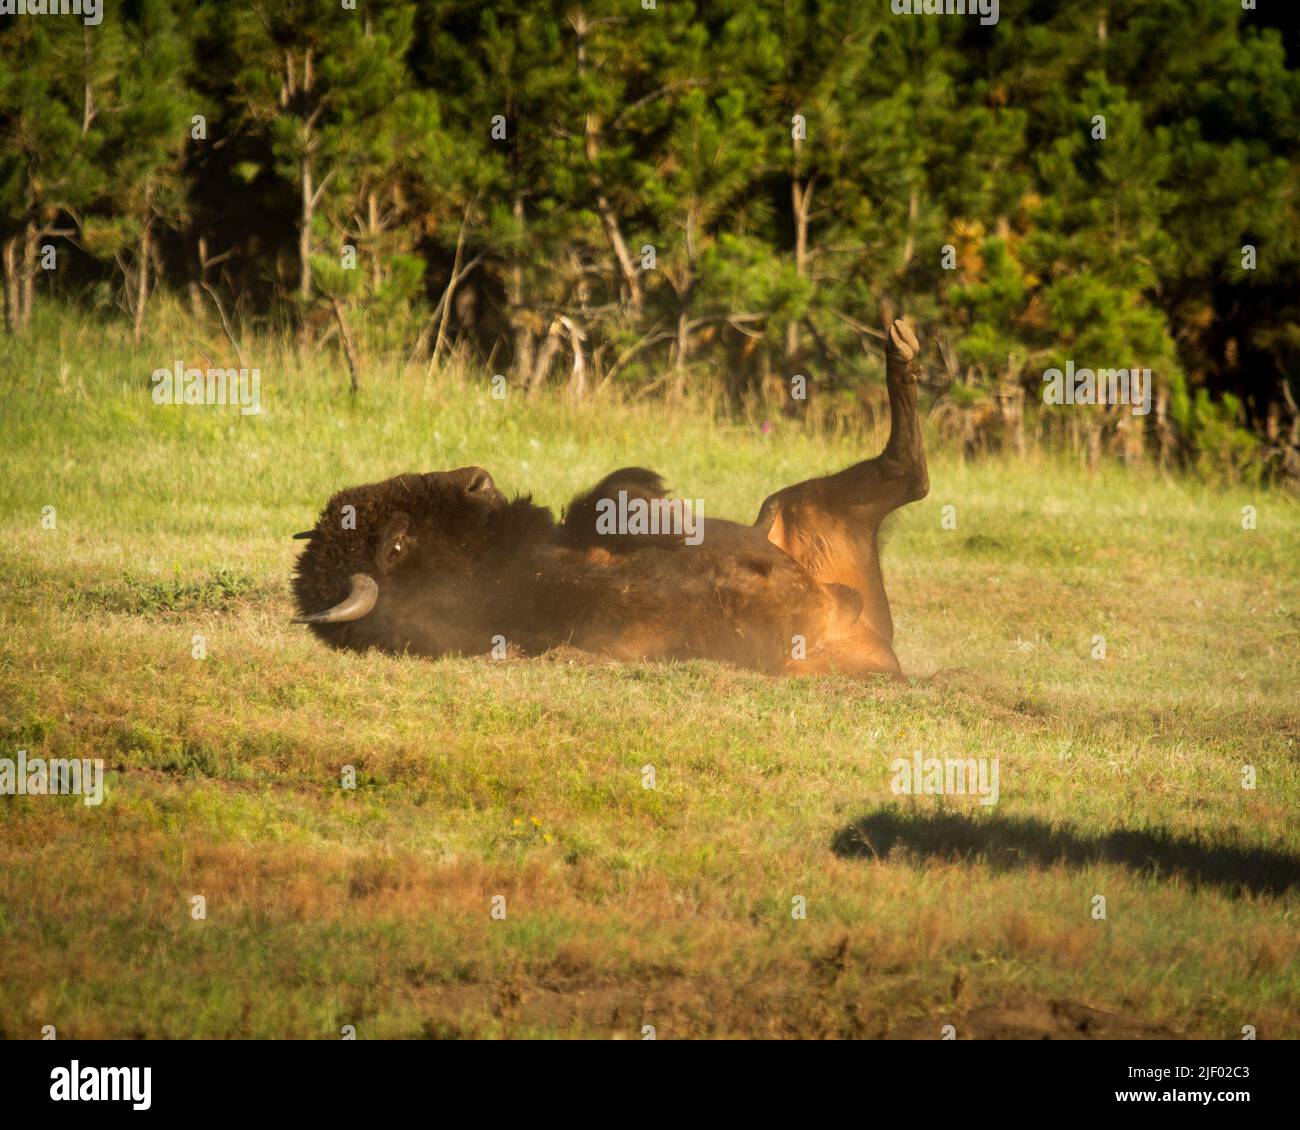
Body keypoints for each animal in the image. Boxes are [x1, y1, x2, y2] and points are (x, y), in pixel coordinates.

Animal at [292, 319, 929, 678]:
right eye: (395, 543)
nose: (478, 479)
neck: (498, 581)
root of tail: (877, 648)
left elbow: (608, 505)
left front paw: (666, 511)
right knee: (909, 476)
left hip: (794, 513)